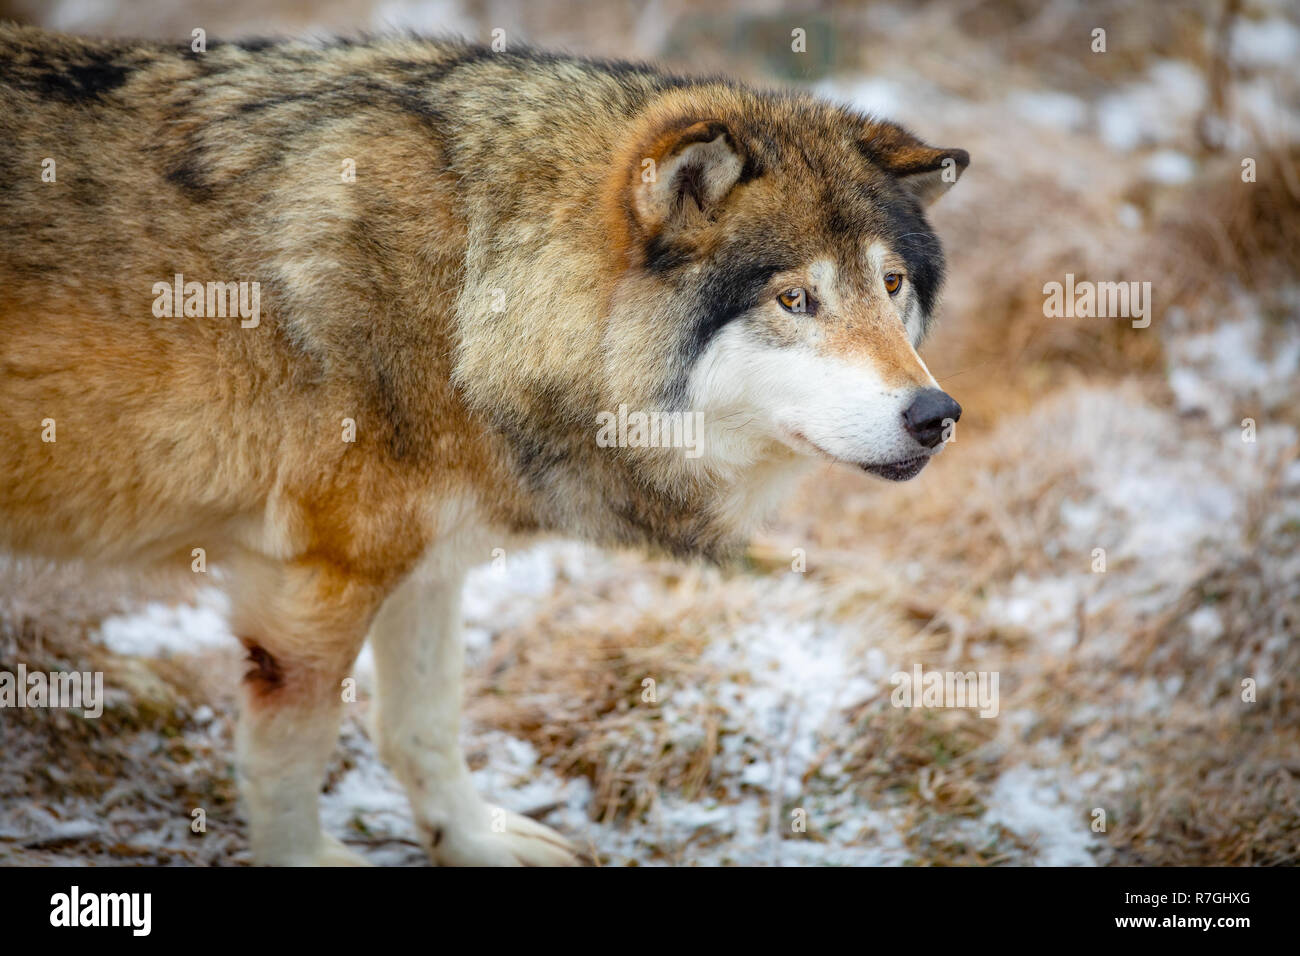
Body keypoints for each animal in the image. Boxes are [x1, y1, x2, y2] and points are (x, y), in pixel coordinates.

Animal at [0, 24, 967, 865]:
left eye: (891, 285)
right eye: (796, 299)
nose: (937, 414)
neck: (469, 284)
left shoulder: (428, 560)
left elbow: (423, 724)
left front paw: (472, 842)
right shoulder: (320, 577)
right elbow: (291, 756)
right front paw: (305, 857)